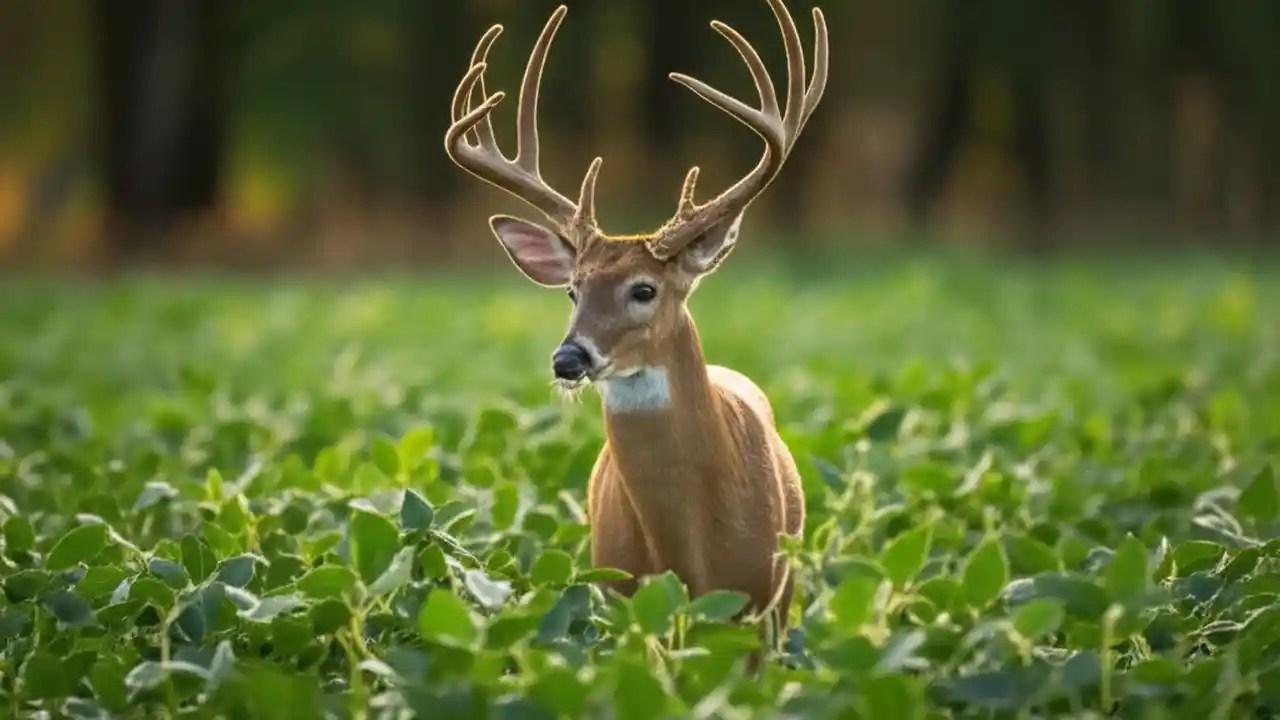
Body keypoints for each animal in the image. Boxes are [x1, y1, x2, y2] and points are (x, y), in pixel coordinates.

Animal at [444, 0, 828, 651]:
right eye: (572, 290)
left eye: (644, 289)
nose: (568, 359)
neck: (691, 555)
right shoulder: (623, 606)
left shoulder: (763, 605)